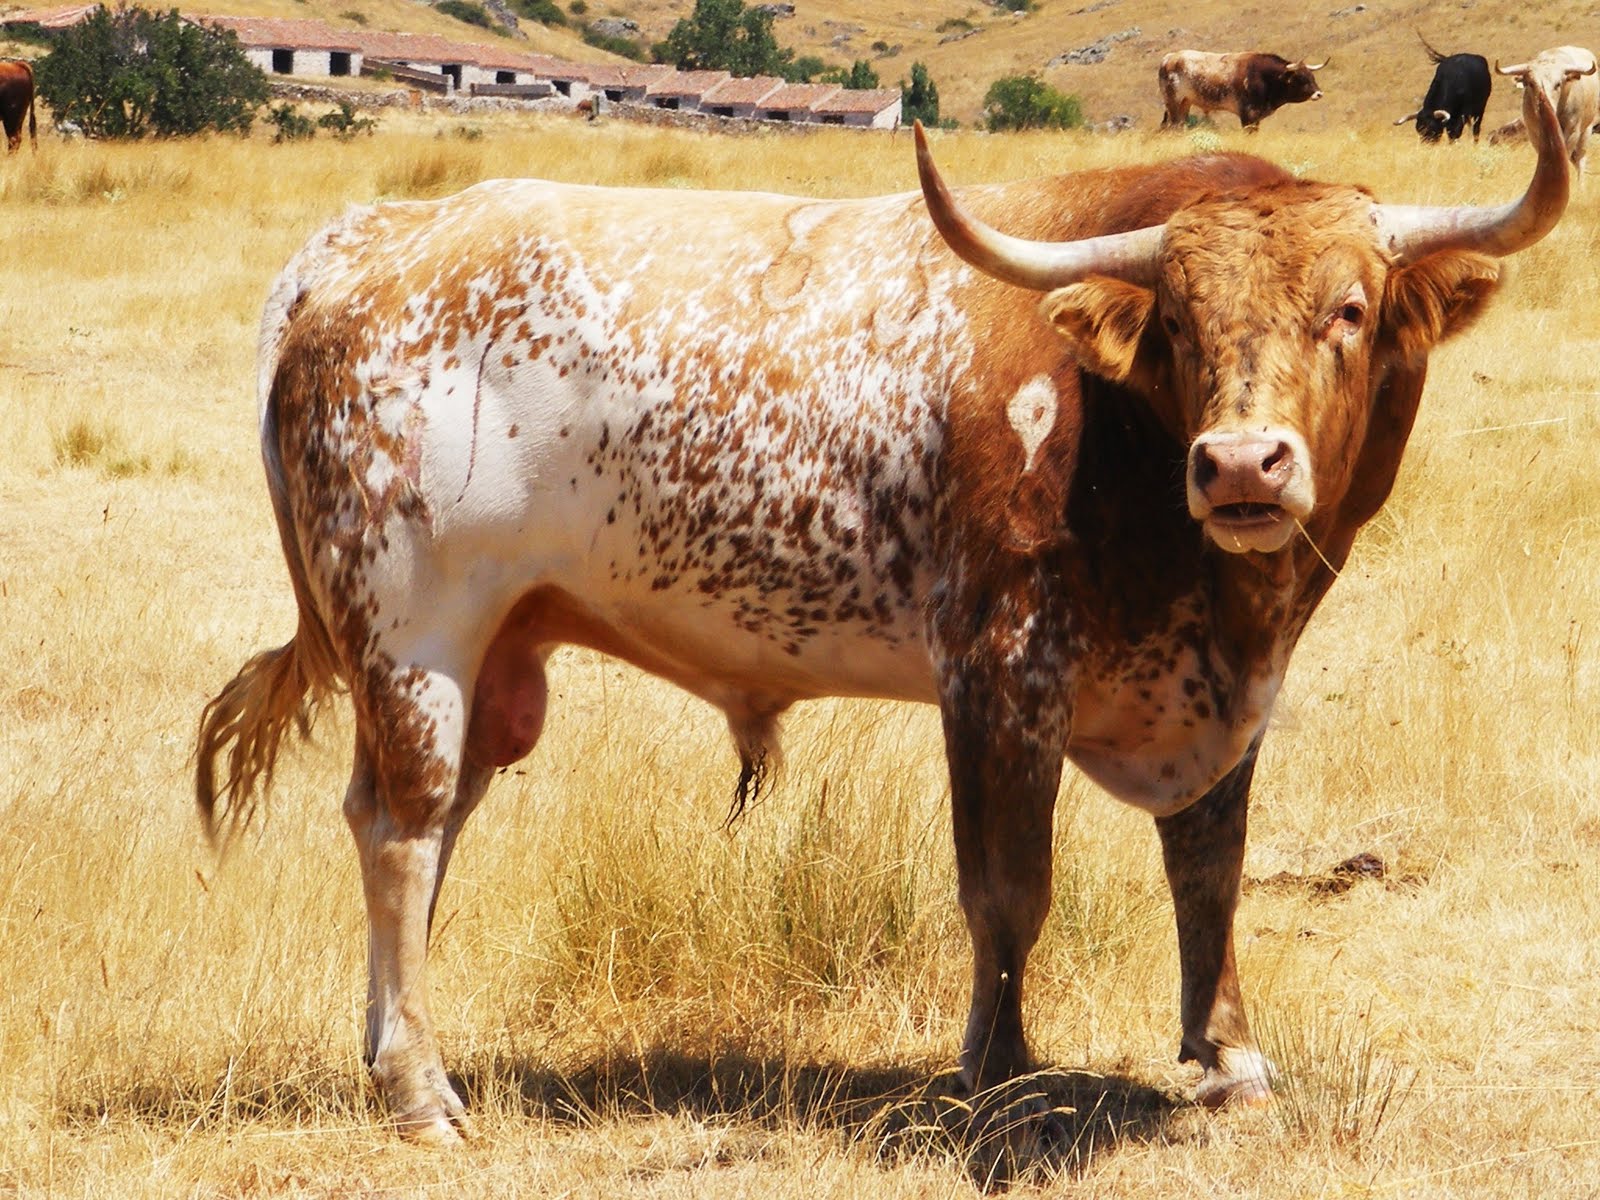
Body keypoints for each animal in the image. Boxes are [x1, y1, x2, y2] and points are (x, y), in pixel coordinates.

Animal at [195, 82, 1571, 1145]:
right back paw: (420, 1089)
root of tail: (369, 242)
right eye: (1178, 322)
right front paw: (1000, 1075)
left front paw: (1226, 1055)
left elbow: (1208, 871)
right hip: (413, 635)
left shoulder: (1228, 690)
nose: (1240, 465)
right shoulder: (1000, 674)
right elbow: (1009, 889)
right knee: (402, 830)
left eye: (1349, 308)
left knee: (417, 833)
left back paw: (389, 1050)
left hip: (489, 660)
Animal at [1158, 50, 1327, 131]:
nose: (1319, 94)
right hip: (1173, 102)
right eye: (1301, 78)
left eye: (1312, 76)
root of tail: (1169, 58)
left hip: (1185, 103)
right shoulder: (1248, 115)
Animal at [1496, 46, 1599, 177]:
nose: (1542, 106)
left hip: (1586, 132)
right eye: (1531, 84)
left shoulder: (1572, 132)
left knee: (1580, 161)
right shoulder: (1534, 134)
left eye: (1558, 84)